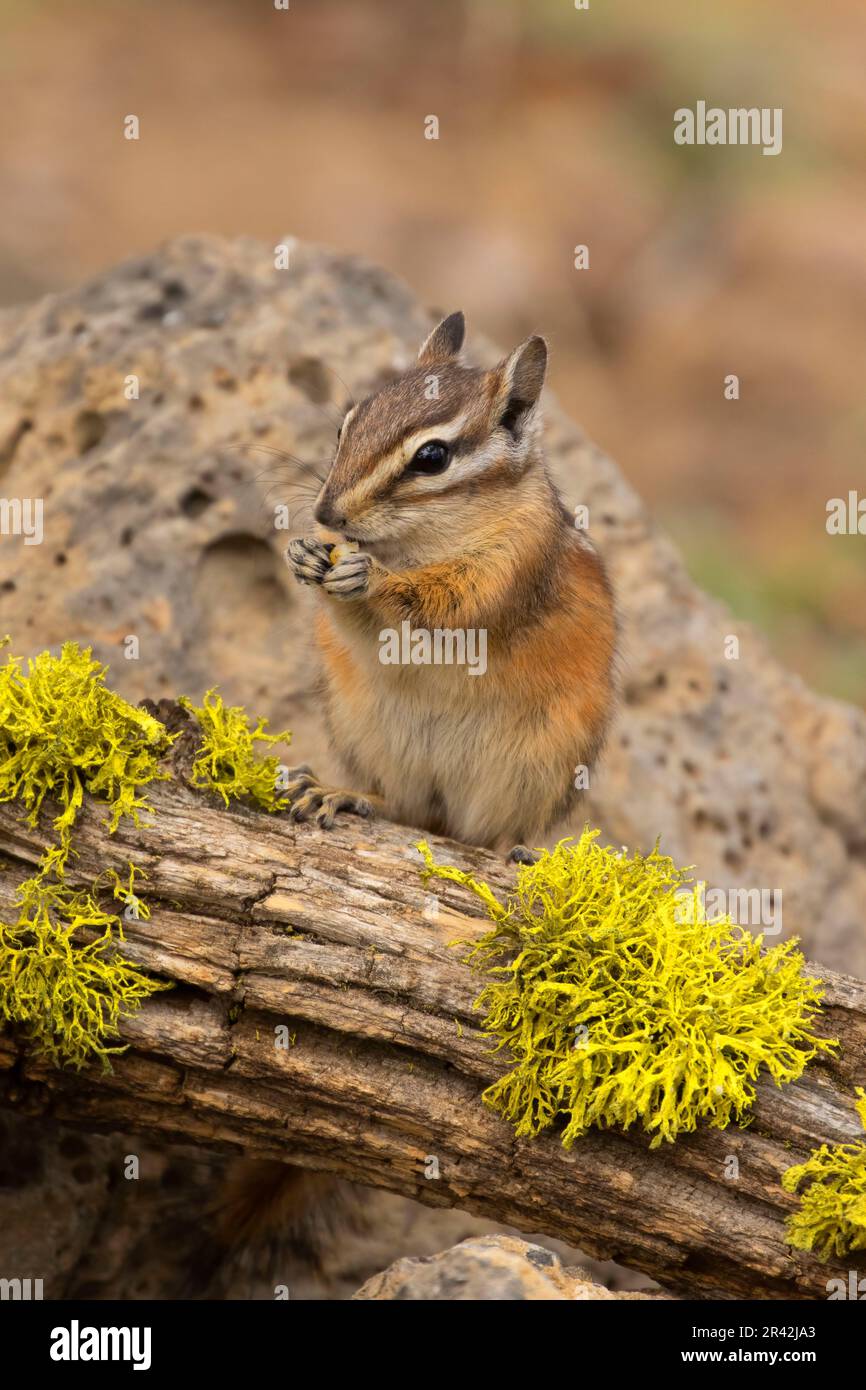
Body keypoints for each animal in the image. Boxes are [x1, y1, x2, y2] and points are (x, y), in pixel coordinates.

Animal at [216, 313, 617, 1277]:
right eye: (348, 418)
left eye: (432, 458)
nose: (327, 514)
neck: (428, 538)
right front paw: (306, 556)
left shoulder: (499, 580)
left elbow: (437, 607)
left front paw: (368, 578)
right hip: (373, 737)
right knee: (401, 809)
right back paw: (339, 797)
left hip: (528, 773)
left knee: (485, 835)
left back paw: (515, 852)